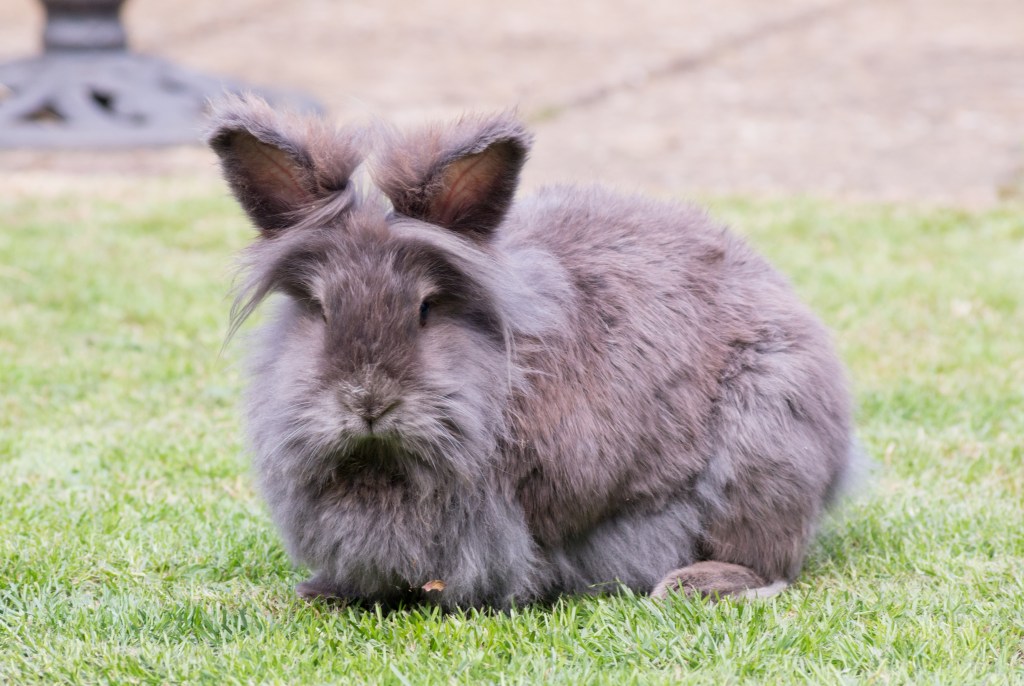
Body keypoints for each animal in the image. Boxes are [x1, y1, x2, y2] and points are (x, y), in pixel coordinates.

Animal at [206, 94, 856, 610]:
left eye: (426, 308)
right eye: (318, 309)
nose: (369, 402)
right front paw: (324, 591)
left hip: (766, 453)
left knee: (770, 561)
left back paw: (694, 583)